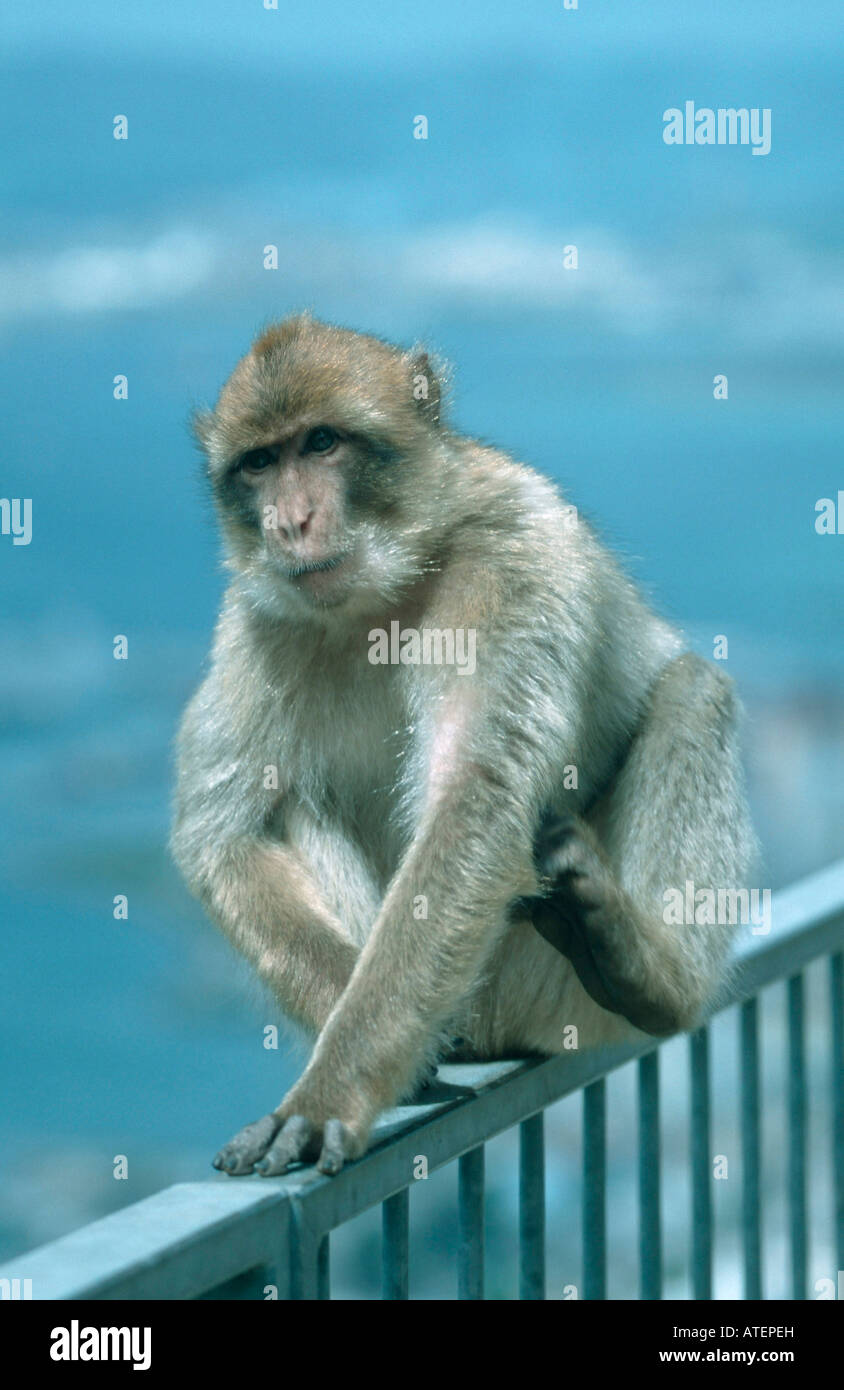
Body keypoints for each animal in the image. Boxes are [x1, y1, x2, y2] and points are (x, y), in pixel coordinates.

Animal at [171, 313, 755, 1179]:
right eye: (259, 463)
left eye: (321, 443)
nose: (289, 523)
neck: (384, 590)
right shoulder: (257, 618)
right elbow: (224, 832)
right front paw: (372, 1052)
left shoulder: (509, 552)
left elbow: (473, 799)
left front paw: (331, 1092)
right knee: (292, 800)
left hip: (538, 983)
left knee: (693, 691)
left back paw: (642, 972)